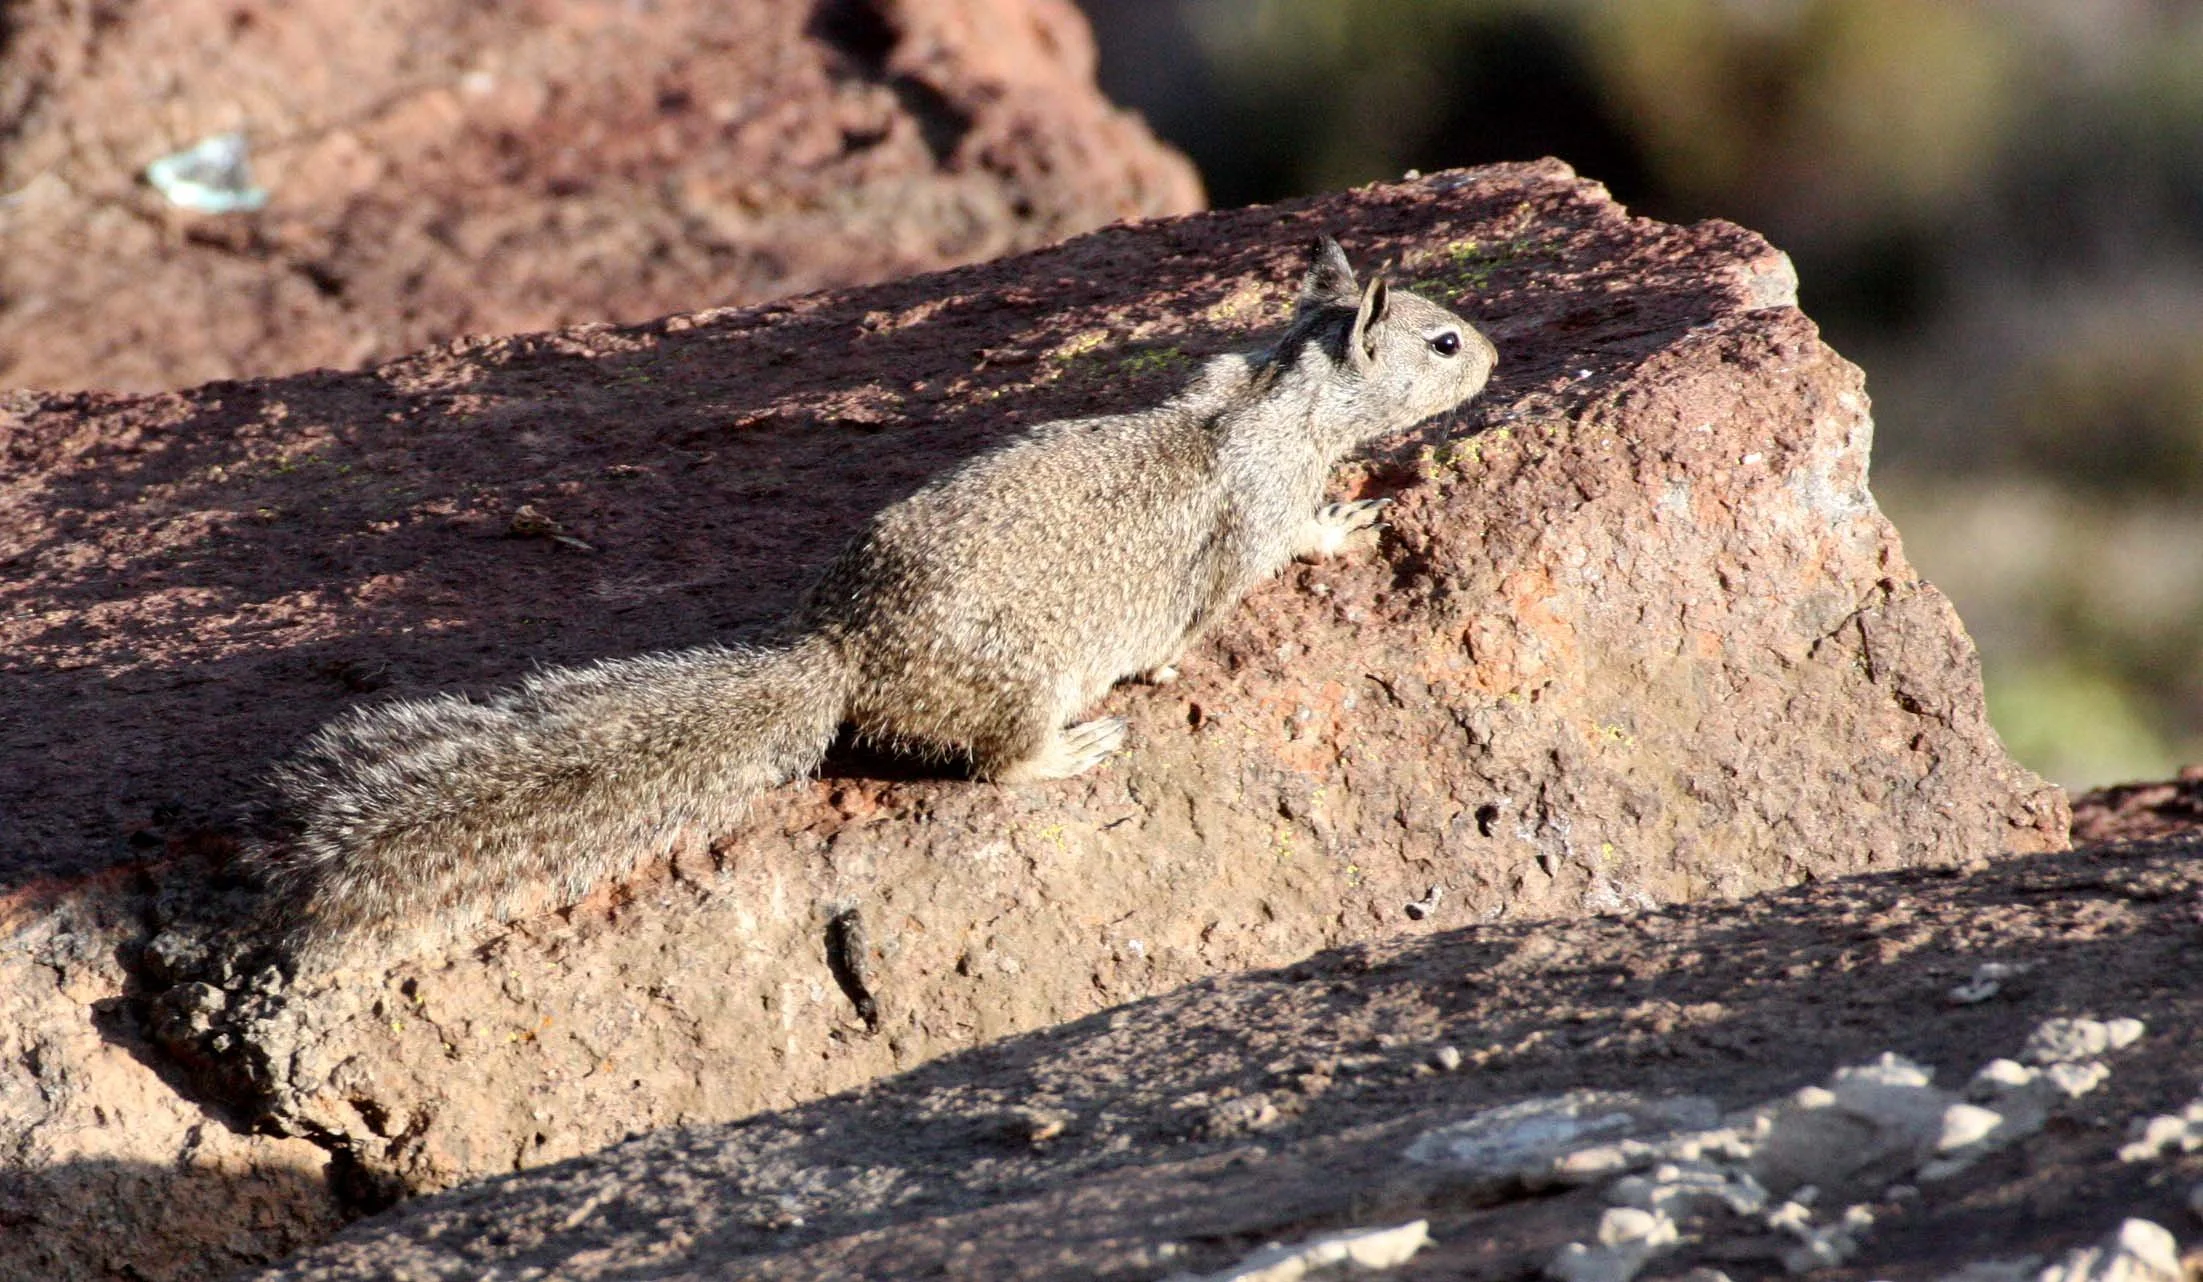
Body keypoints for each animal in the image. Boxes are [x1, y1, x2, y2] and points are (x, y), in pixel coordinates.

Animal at [252, 237, 1497, 957]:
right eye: (1444, 340)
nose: (1491, 358)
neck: (1286, 397)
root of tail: (836, 653)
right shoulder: (1253, 519)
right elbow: (1254, 567)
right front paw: (1342, 520)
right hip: (1015, 686)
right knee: (998, 764)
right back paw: (1072, 748)